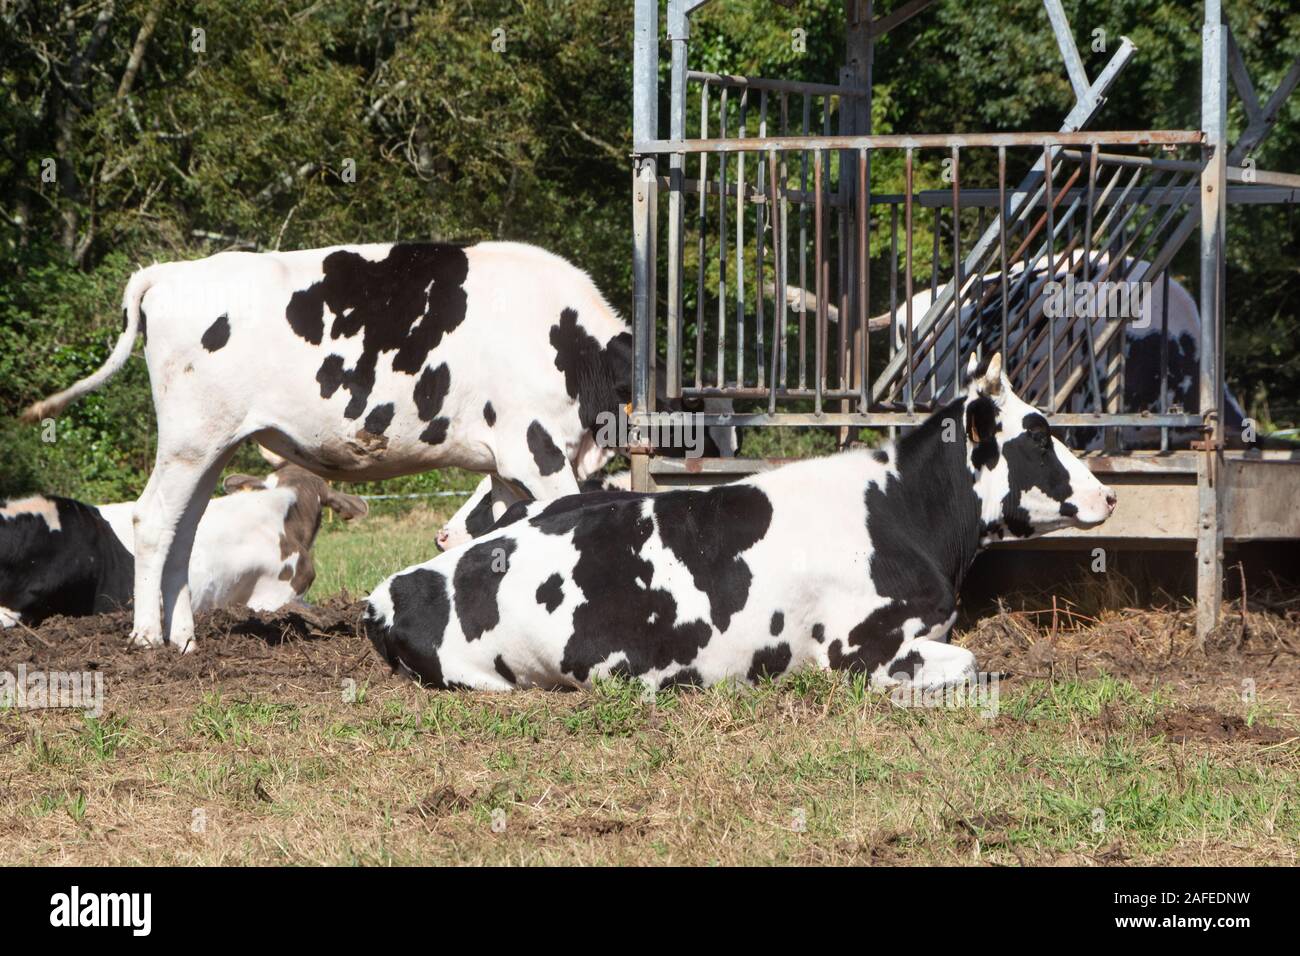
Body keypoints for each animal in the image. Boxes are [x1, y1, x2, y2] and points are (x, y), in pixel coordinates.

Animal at [362, 352, 1117, 692]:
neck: (905, 514)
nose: (1108, 495)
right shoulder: (856, 647)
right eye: (1039, 435)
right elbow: (966, 661)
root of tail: (392, 588)